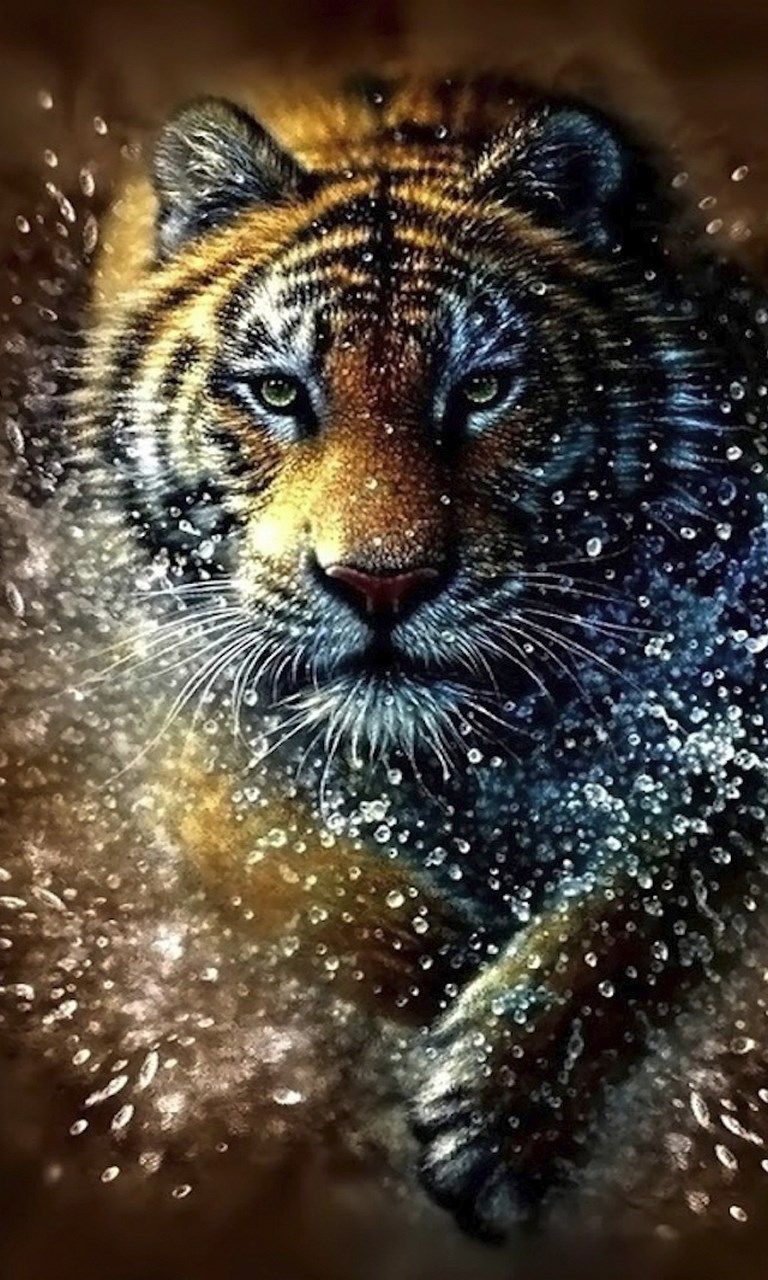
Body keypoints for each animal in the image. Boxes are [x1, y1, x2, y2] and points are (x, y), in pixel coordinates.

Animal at [71, 75, 768, 1240]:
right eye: (277, 392)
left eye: (482, 390)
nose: (380, 584)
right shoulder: (174, 705)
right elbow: (287, 866)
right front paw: (441, 964)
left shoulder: (733, 702)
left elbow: (636, 905)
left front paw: (500, 1112)